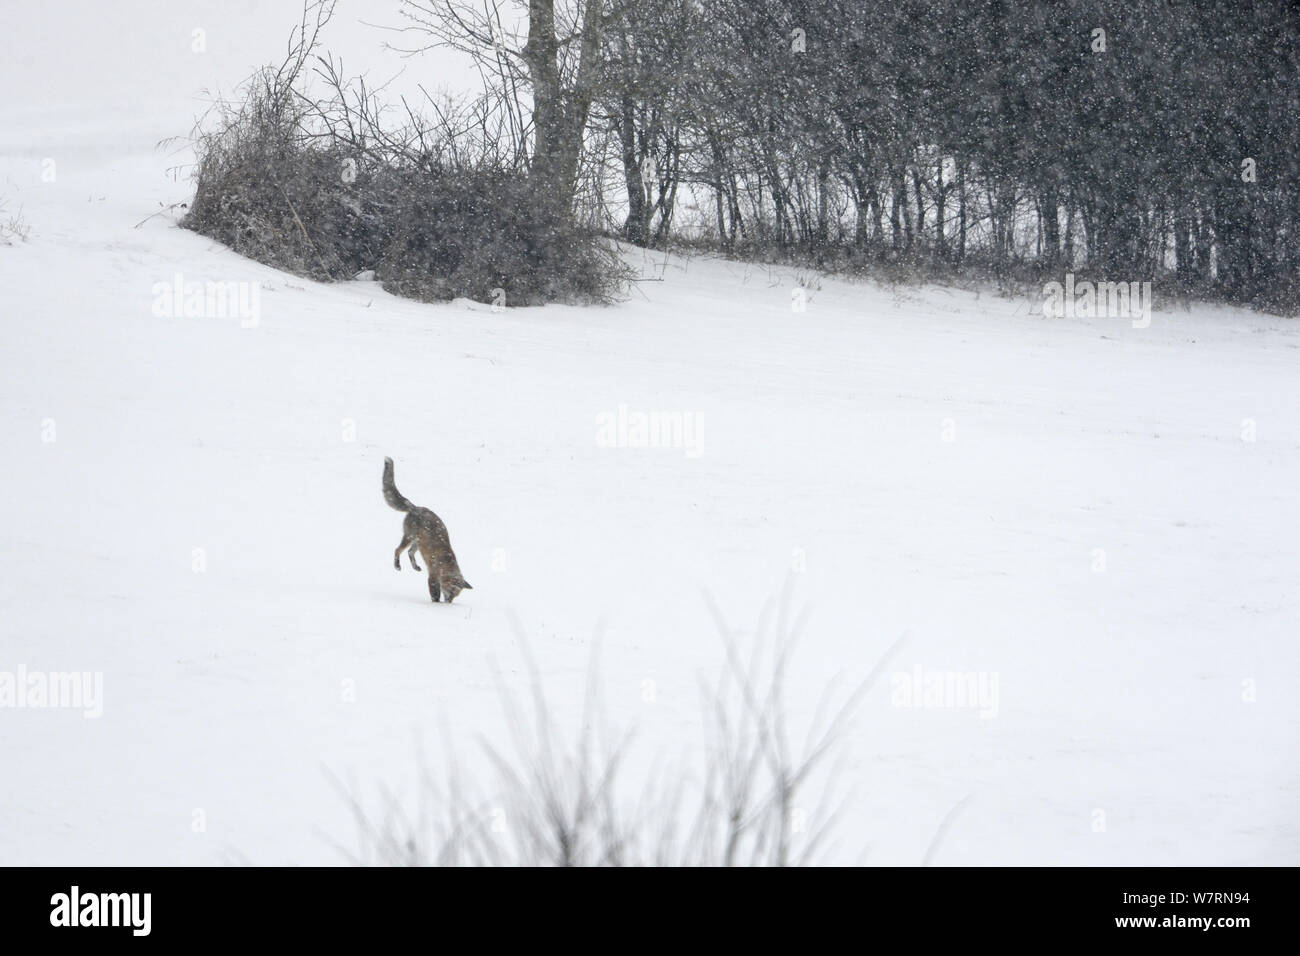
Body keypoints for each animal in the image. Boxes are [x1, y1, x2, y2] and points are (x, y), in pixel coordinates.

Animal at [382, 457, 472, 604]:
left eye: (456, 595)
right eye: (452, 591)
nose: (449, 603)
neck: (445, 564)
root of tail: (415, 507)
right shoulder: (433, 577)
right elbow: (434, 595)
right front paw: (436, 605)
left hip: (418, 543)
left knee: (410, 552)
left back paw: (415, 566)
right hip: (409, 537)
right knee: (398, 550)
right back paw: (397, 565)